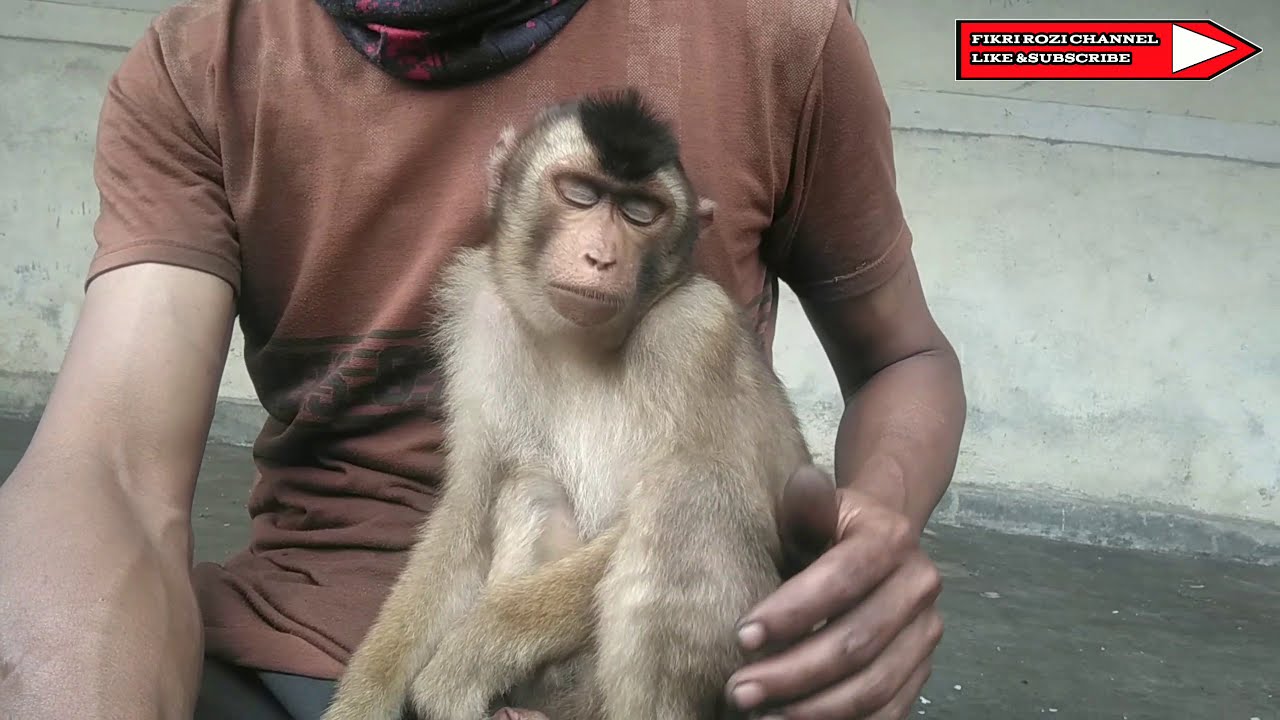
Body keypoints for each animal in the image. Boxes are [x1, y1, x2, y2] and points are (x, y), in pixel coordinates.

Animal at [322, 87, 814, 720]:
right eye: (580, 193)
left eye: (641, 212)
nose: (601, 257)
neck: (582, 342)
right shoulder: (483, 319)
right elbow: (468, 511)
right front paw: (364, 697)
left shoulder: (697, 331)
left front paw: (468, 657)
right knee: (531, 484)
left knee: (691, 495)